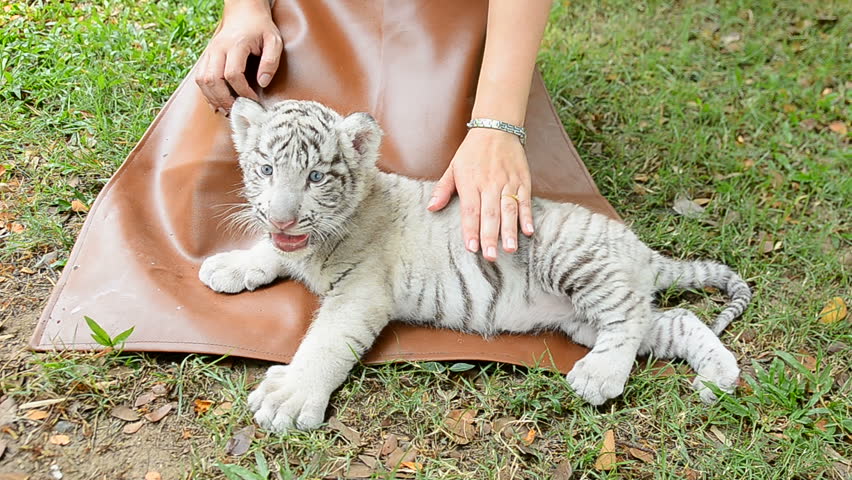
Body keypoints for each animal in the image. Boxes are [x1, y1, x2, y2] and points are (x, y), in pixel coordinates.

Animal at [199, 98, 751, 432]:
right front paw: (227, 265)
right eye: (266, 169)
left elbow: (326, 342)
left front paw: (289, 397)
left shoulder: (360, 293)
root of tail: (639, 247)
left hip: (577, 266)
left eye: (315, 177)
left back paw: (600, 377)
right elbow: (269, 249)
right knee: (677, 319)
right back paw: (718, 378)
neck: (319, 241)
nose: (283, 215)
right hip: (584, 320)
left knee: (629, 320)